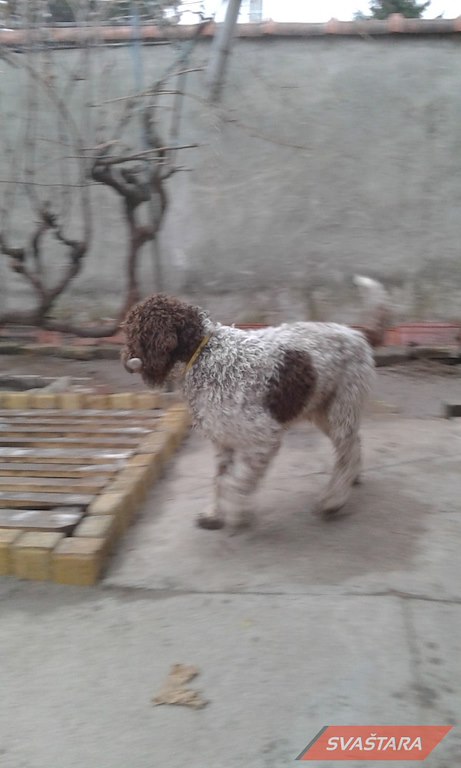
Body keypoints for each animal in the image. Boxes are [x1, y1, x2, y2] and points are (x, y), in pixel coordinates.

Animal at [121, 278, 388, 536]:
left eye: (134, 331)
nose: (124, 360)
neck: (203, 354)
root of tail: (356, 333)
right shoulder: (223, 439)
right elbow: (220, 478)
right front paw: (214, 514)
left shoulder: (264, 439)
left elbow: (236, 482)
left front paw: (239, 513)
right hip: (323, 410)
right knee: (353, 444)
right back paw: (351, 480)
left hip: (341, 409)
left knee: (346, 452)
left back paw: (334, 500)